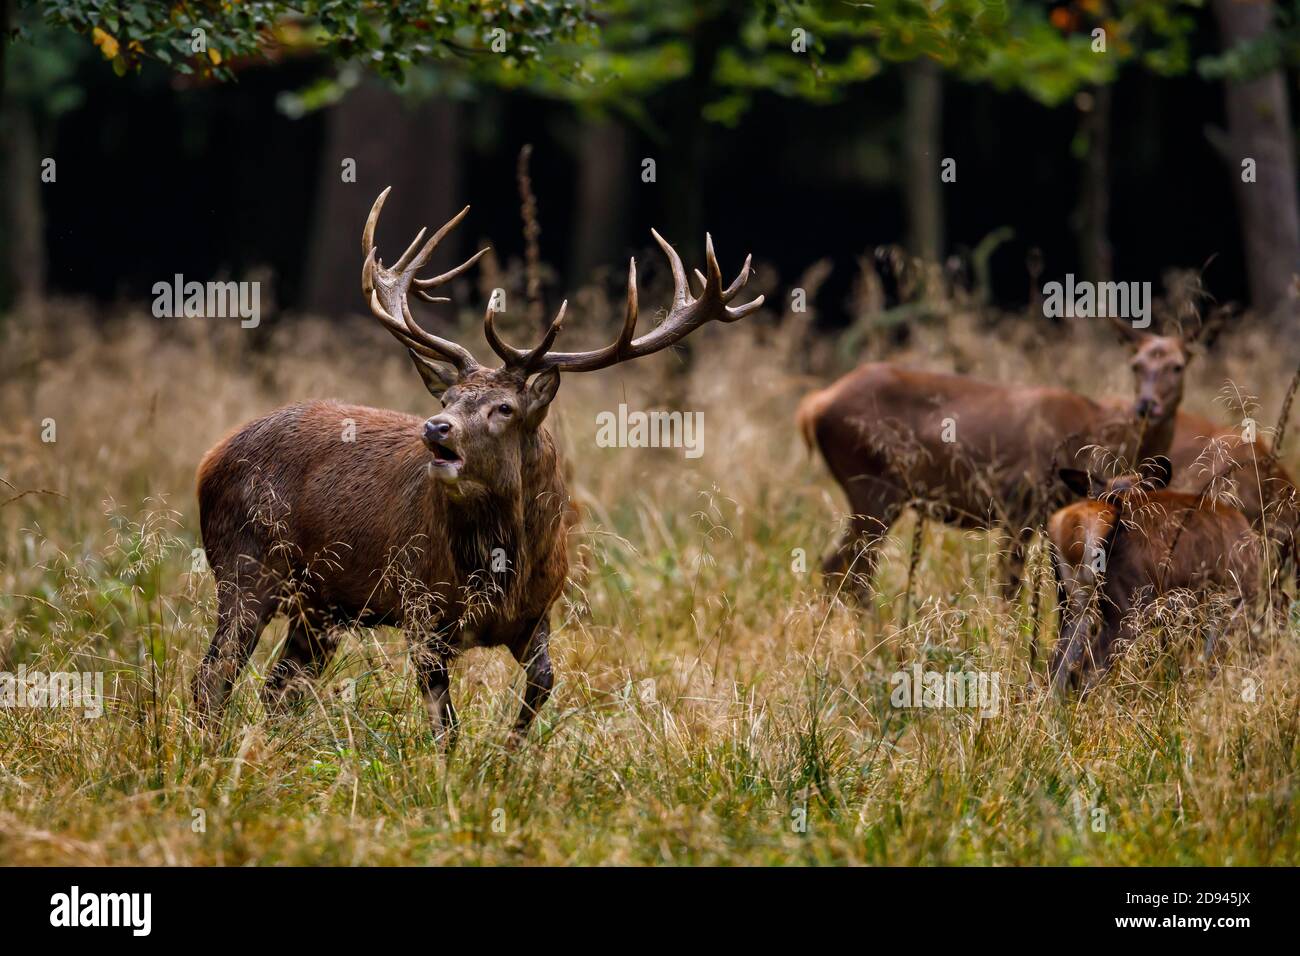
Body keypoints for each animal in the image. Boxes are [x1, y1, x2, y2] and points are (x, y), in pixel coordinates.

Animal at [191, 186, 763, 747]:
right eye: (448, 398)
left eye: (503, 408)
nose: (436, 427)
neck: (498, 569)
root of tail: (210, 459)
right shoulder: (420, 608)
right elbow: (446, 727)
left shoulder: (538, 614)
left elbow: (543, 686)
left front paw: (509, 755)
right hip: (247, 563)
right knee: (212, 677)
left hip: (319, 607)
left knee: (276, 689)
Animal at [796, 318, 1208, 600]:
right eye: (1136, 365)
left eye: (1177, 365)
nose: (1147, 405)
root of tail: (813, 407)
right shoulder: (1018, 505)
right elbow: (1009, 587)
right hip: (873, 487)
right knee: (846, 572)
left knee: (843, 571)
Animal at [1047, 456, 1260, 692]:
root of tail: (1072, 524)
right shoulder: (1232, 602)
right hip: (1129, 604)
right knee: (1087, 669)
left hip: (1074, 601)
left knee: (1057, 667)